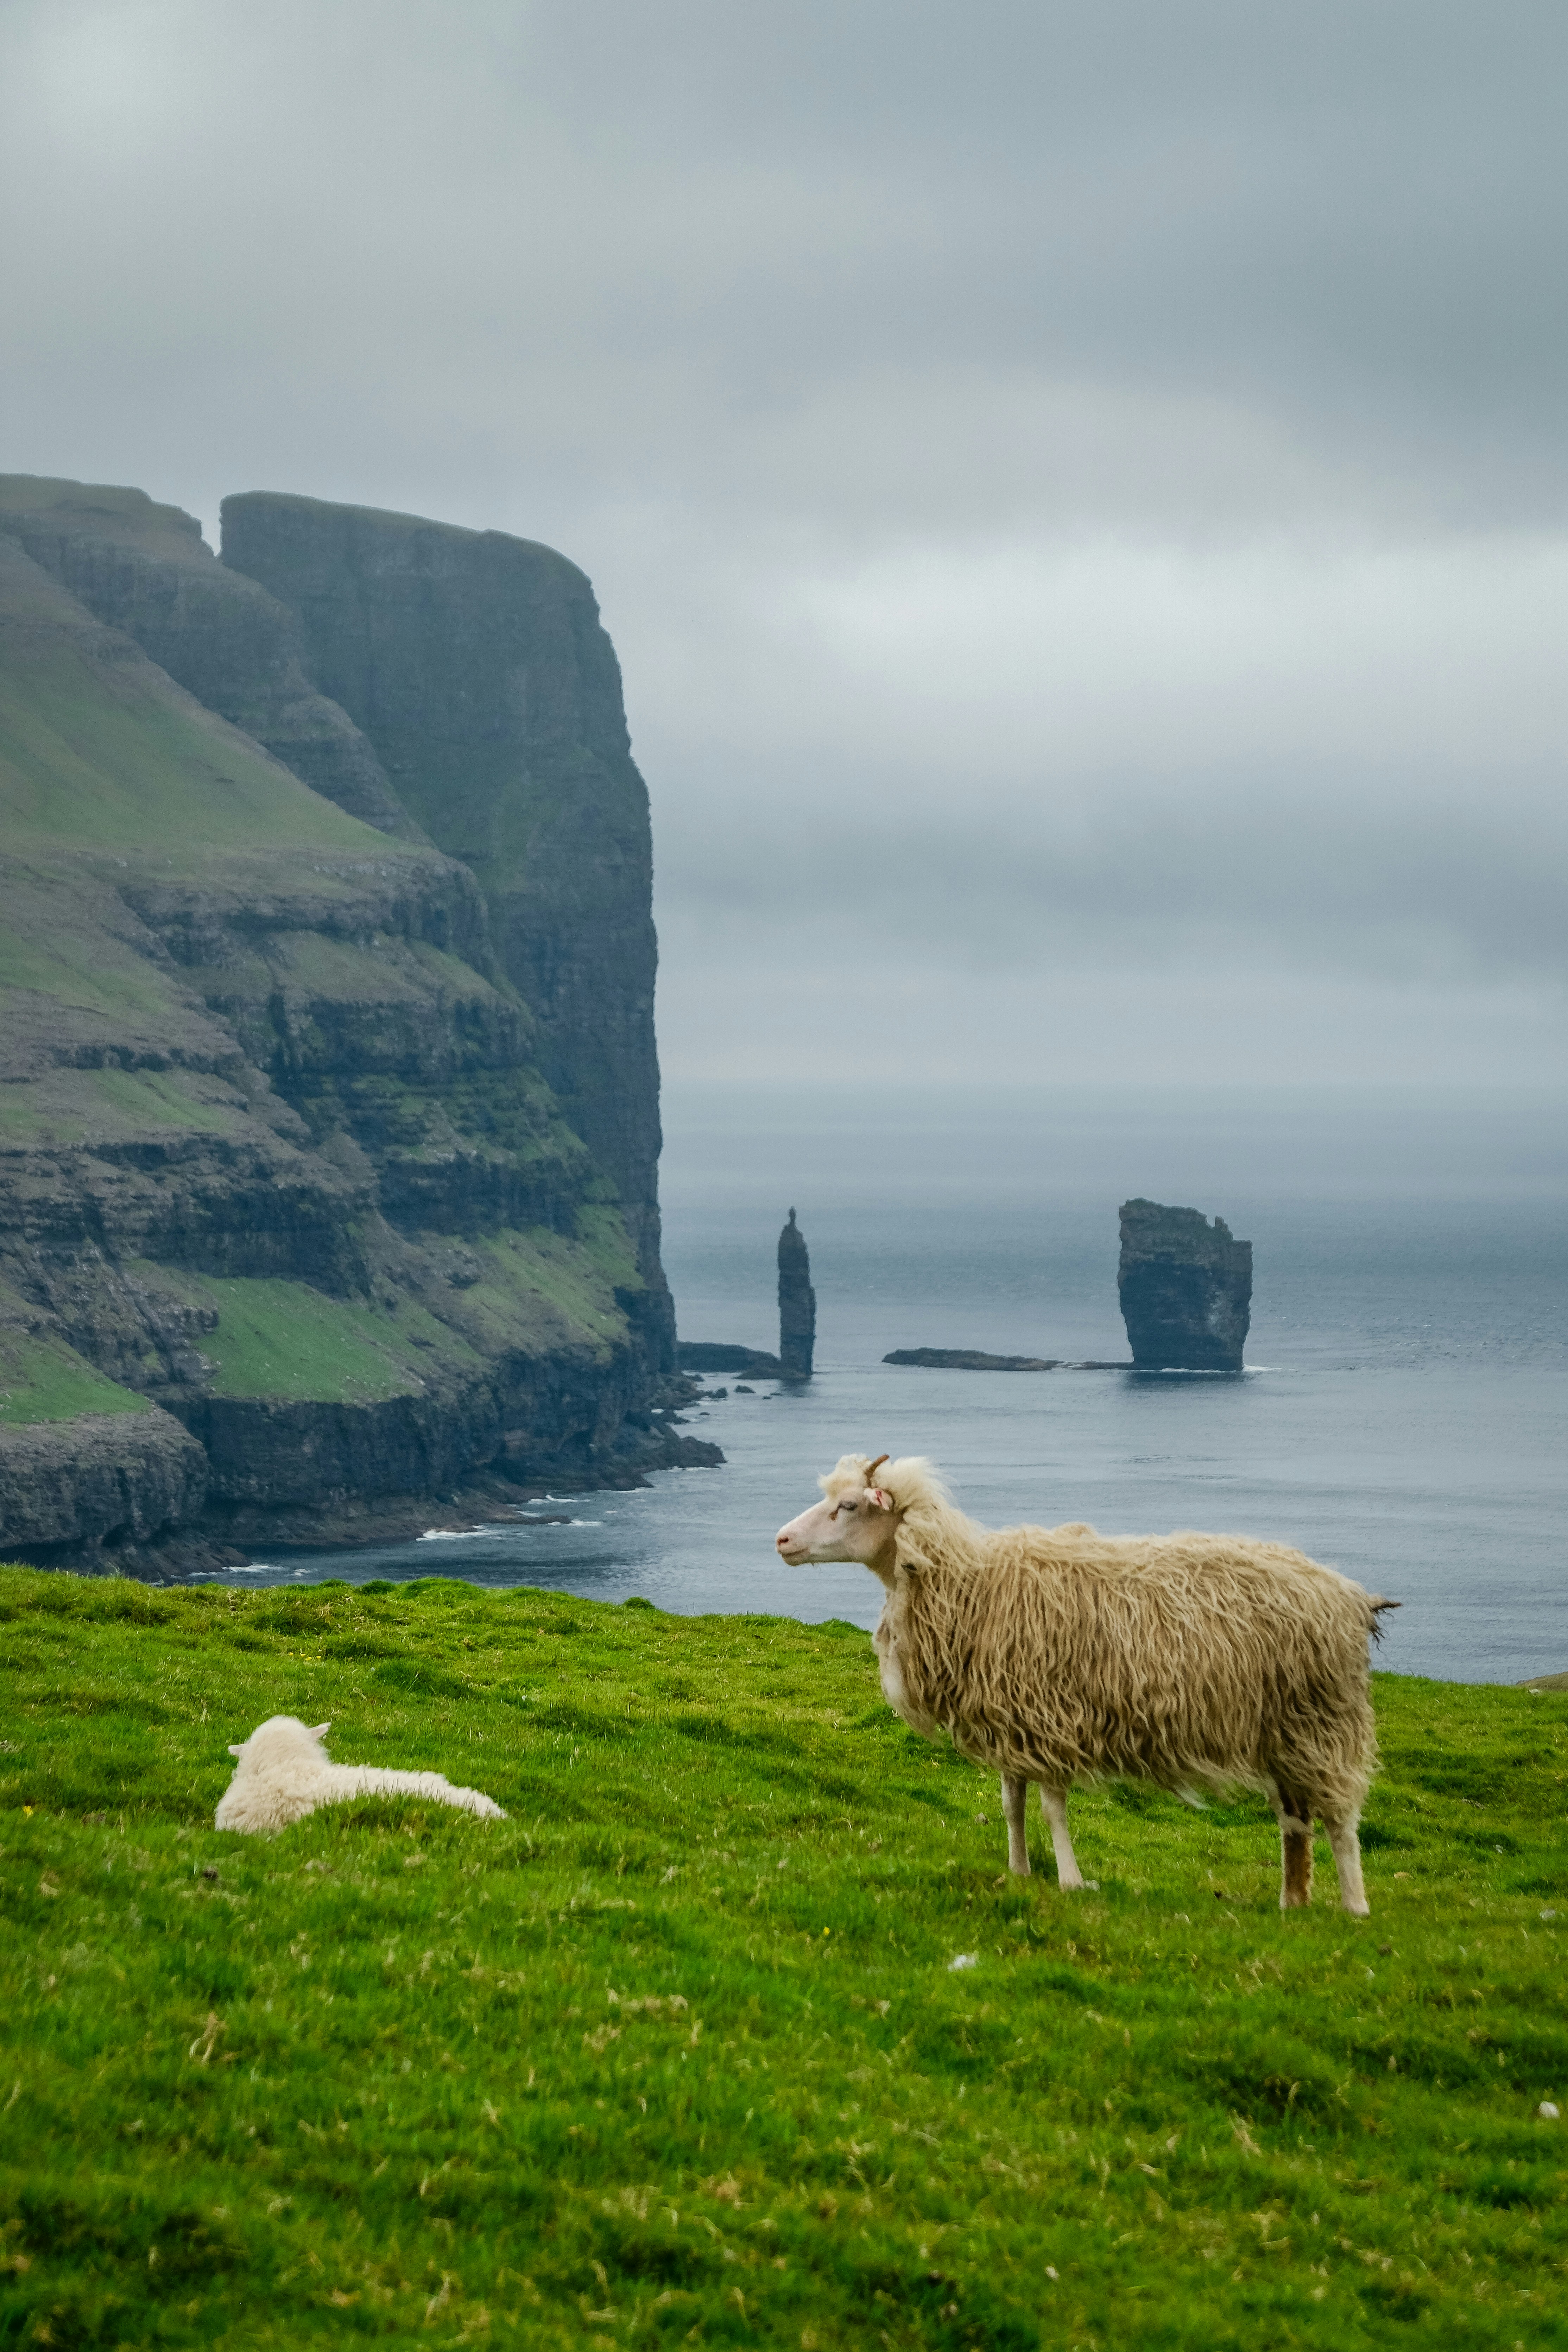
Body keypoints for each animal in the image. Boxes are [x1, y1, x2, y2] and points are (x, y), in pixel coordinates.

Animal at [776, 1454, 1398, 1915]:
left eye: (848, 1506)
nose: (781, 1540)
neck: (963, 1579)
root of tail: (1350, 1595)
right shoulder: (1012, 1722)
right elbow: (1012, 1806)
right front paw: (1020, 1871)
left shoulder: (1049, 1720)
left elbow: (1052, 1810)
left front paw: (1071, 1881)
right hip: (1286, 1732)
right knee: (1296, 1822)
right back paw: (1292, 1902)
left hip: (1323, 1723)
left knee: (1341, 1821)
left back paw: (1354, 1907)